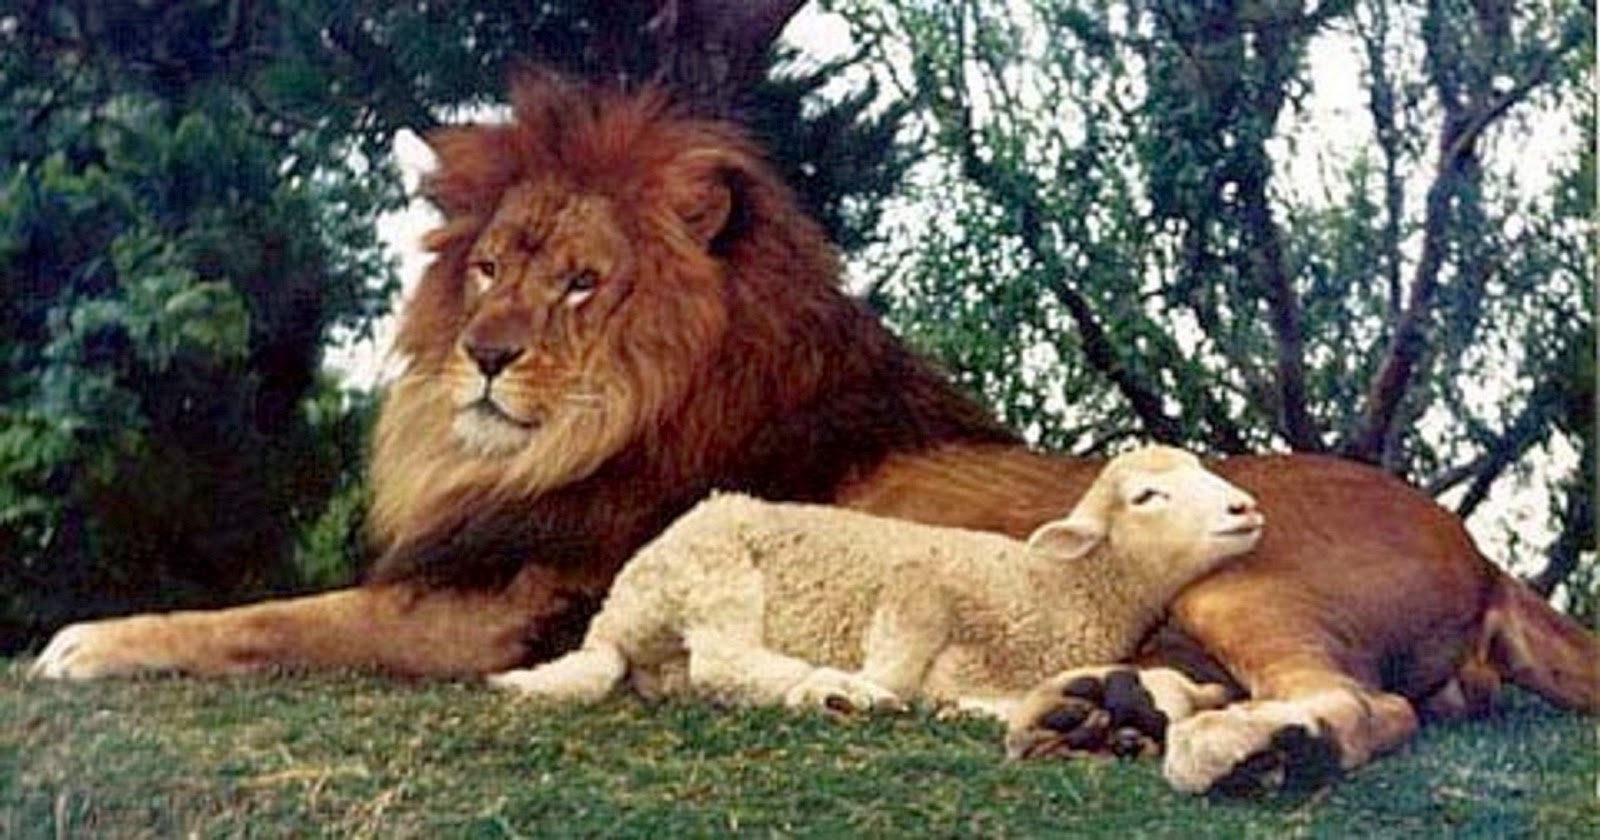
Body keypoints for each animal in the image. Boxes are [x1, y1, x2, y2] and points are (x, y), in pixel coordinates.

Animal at [489, 445, 1264, 719]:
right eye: (1146, 497)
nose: (1246, 509)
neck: (1055, 587)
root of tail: (611, 621)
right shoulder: (918, 591)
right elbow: (897, 666)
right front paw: (895, 692)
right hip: (714, 569)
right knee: (723, 662)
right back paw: (828, 689)